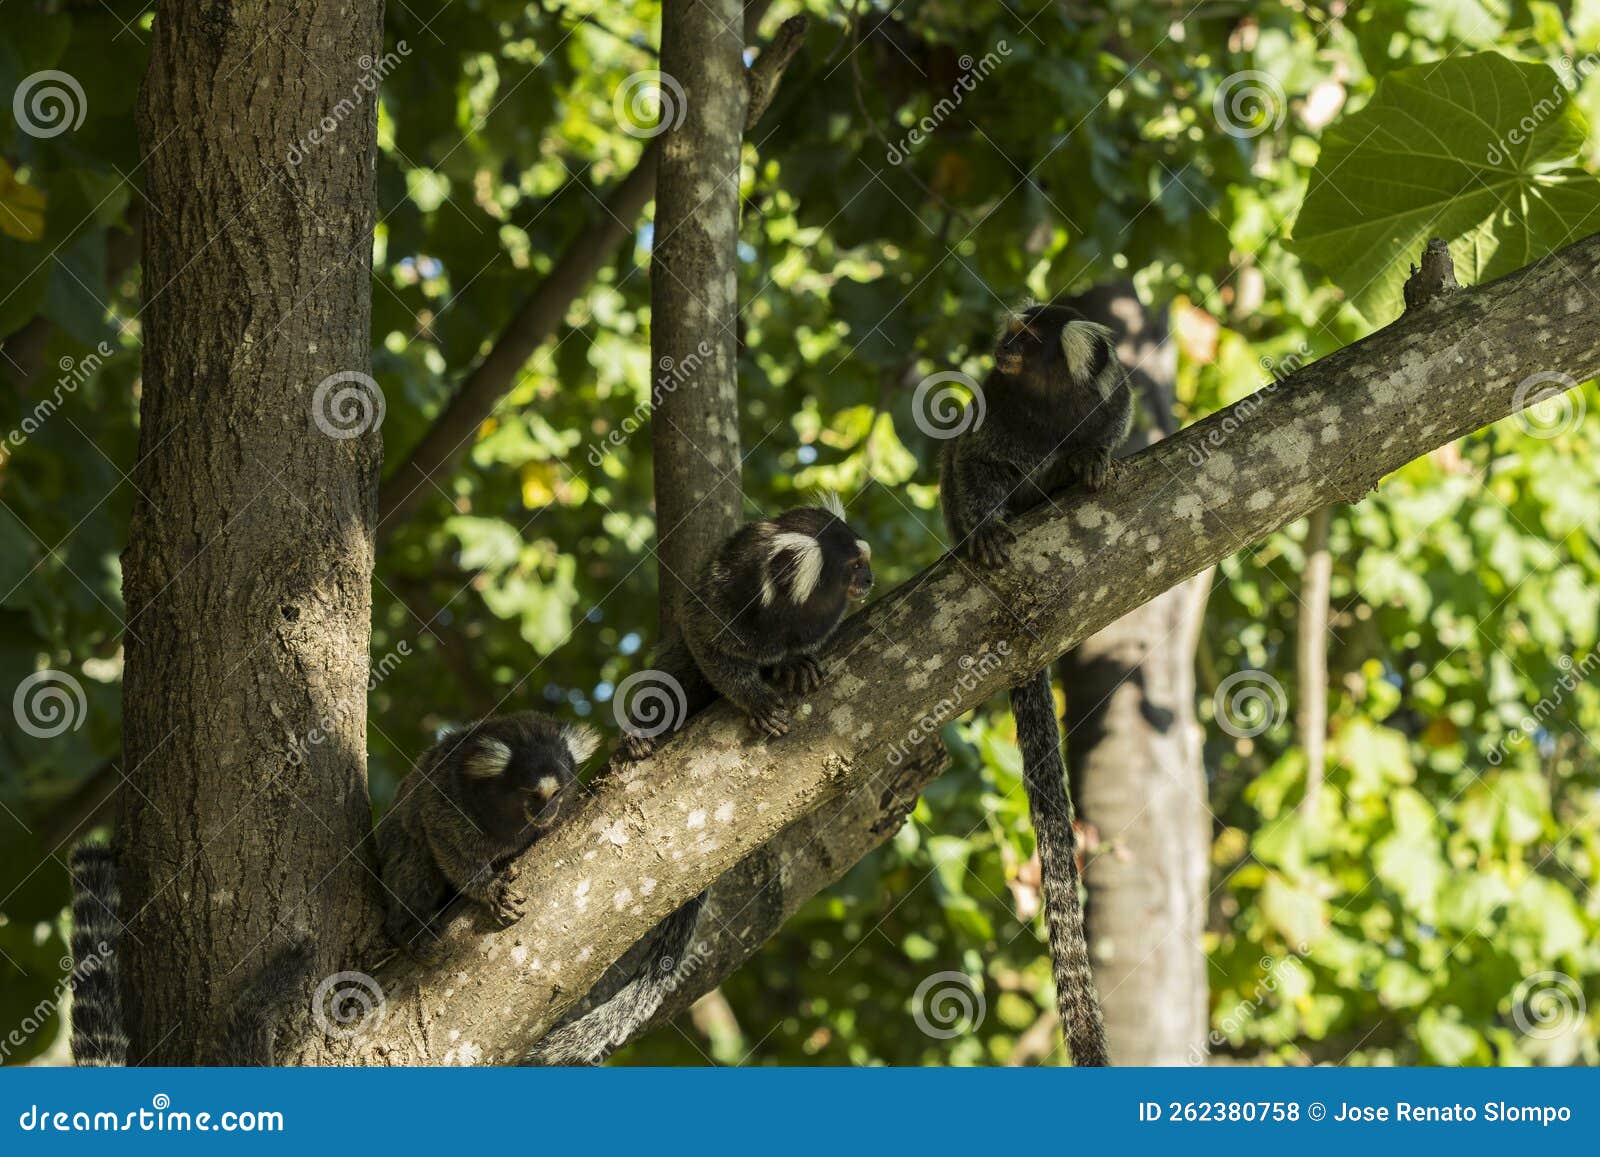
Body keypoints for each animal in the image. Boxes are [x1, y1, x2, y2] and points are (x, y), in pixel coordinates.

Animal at [376, 710, 596, 956]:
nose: (546, 812)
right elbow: (443, 838)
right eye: (533, 794)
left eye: (556, 792)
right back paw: (408, 926)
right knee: (411, 848)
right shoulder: (447, 793)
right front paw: (489, 889)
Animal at [527, 498, 874, 1065]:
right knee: (675, 678)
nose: (869, 578)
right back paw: (640, 742)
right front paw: (754, 696)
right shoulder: (724, 593)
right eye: (852, 565)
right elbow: (703, 642)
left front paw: (795, 665)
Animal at [937, 301, 1131, 1067]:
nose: (1000, 343)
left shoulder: (1111, 406)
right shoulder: (994, 417)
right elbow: (972, 464)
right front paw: (988, 526)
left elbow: (1106, 436)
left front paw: (1090, 462)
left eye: (1028, 337)